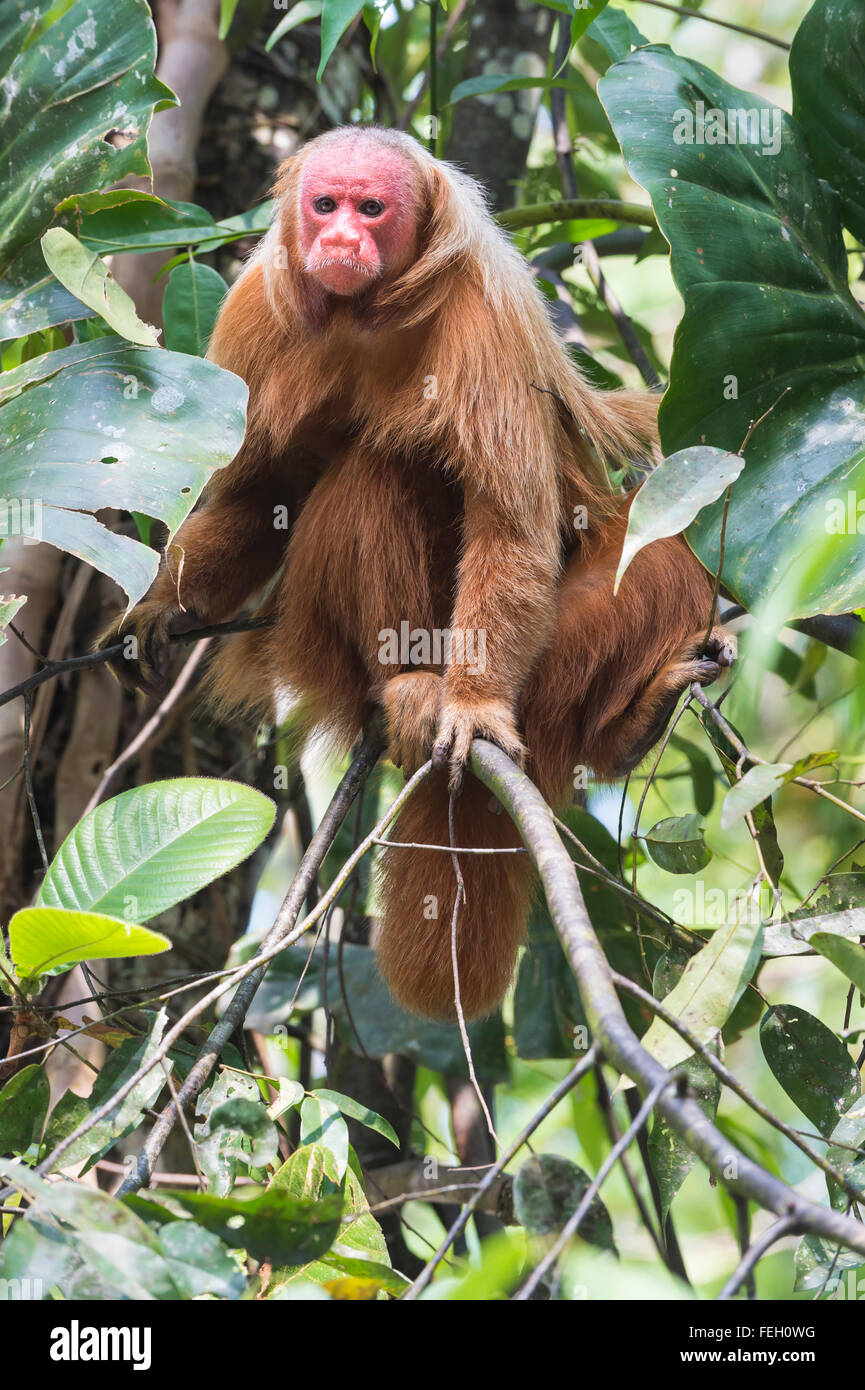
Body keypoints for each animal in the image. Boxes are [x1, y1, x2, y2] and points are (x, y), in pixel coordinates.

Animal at [103, 125, 734, 1022]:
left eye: (372, 208)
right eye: (325, 204)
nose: (340, 237)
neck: (363, 313)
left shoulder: (486, 314)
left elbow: (512, 527)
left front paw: (470, 708)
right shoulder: (254, 308)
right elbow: (257, 495)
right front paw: (163, 606)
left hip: (538, 658)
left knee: (662, 544)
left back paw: (615, 728)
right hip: (322, 644)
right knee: (378, 474)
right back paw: (407, 685)